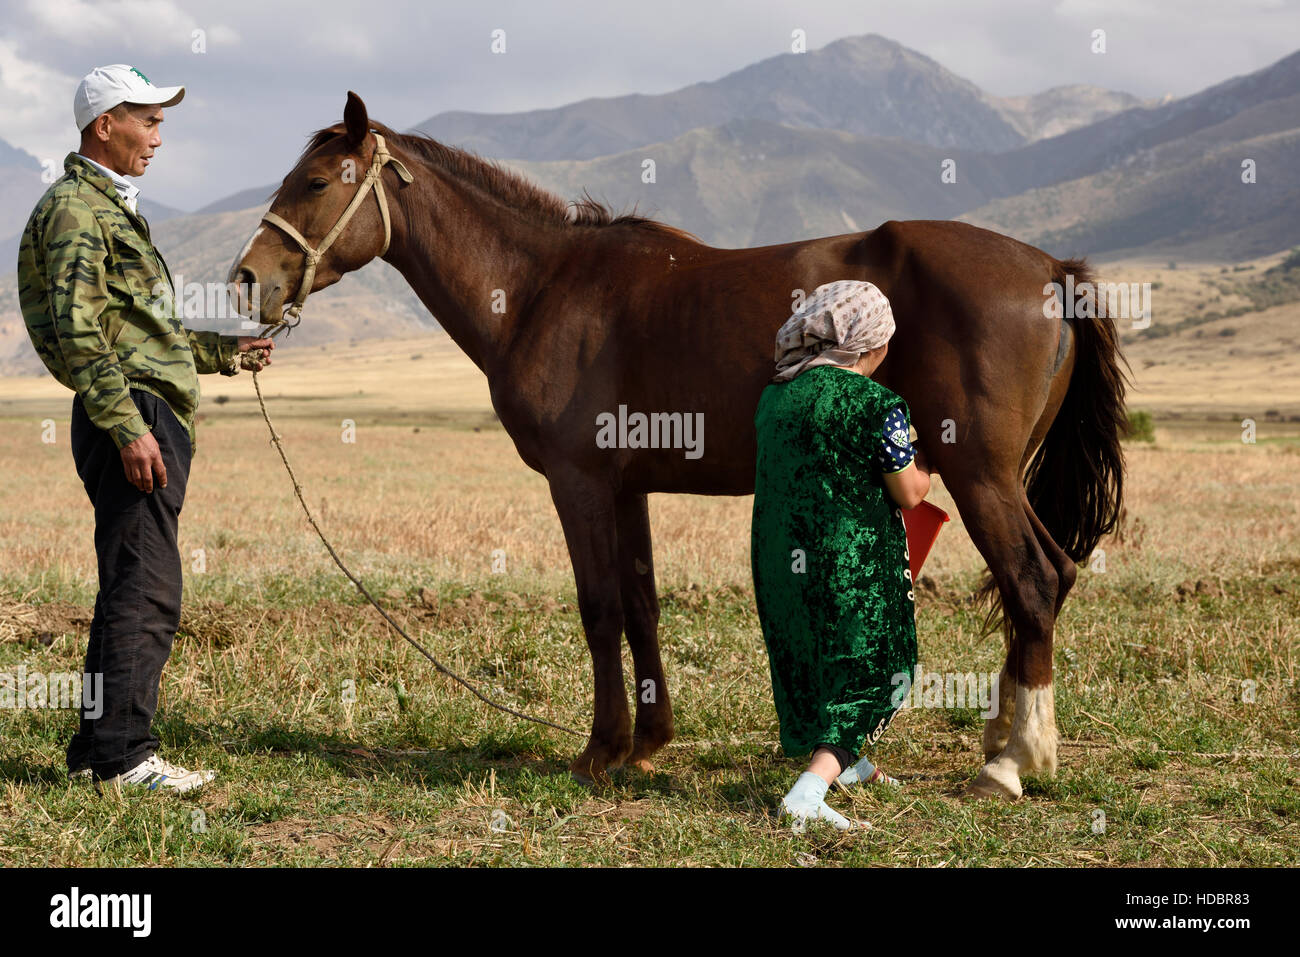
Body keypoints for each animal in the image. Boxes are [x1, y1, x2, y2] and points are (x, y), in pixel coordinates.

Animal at [229, 92, 1129, 800]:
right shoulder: (627, 487)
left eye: (317, 182)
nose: (245, 282)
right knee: (1052, 576)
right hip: (1001, 481)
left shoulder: (579, 483)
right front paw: (648, 740)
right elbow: (641, 605)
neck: (542, 289)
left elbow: (599, 609)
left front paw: (600, 749)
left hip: (980, 477)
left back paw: (1013, 761)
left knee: (1032, 580)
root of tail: (1051, 268)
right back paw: (1004, 738)